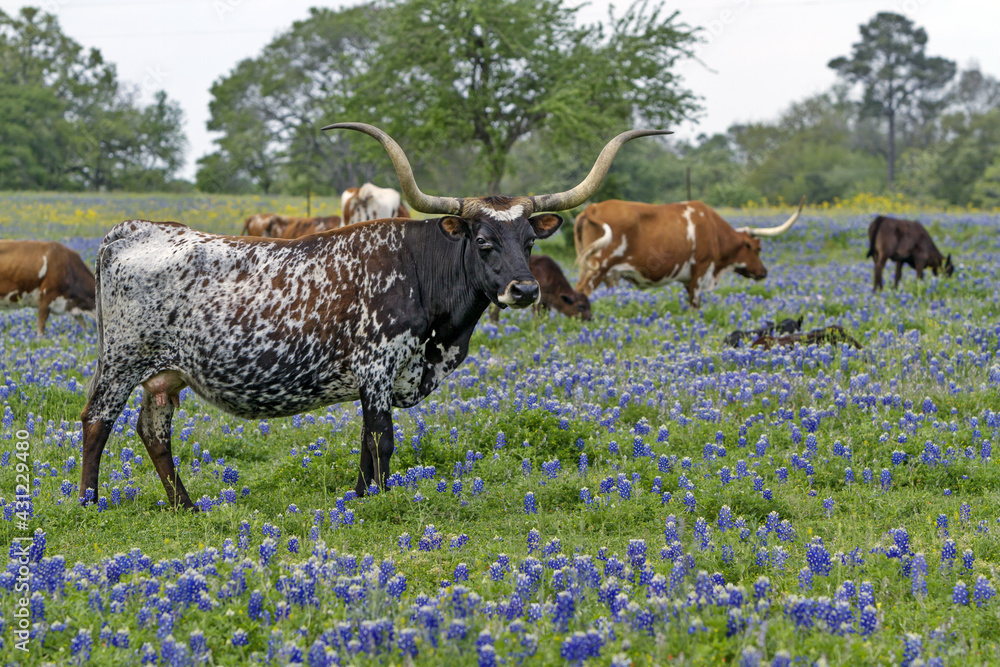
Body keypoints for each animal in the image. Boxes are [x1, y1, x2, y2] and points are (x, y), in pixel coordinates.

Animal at [78, 122, 668, 508]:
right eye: (482, 241)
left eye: (528, 241)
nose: (524, 289)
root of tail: (130, 230)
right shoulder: (378, 367)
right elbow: (382, 438)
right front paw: (379, 501)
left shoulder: (378, 376)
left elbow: (367, 439)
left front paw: (359, 496)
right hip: (122, 361)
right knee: (97, 423)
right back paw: (90, 502)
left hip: (165, 375)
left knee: (154, 432)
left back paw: (185, 504)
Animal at [574, 198, 804, 307]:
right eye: (757, 249)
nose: (763, 272)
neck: (713, 230)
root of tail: (592, 207)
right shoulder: (700, 270)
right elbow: (695, 304)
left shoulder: (687, 278)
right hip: (598, 267)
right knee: (582, 291)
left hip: (589, 266)